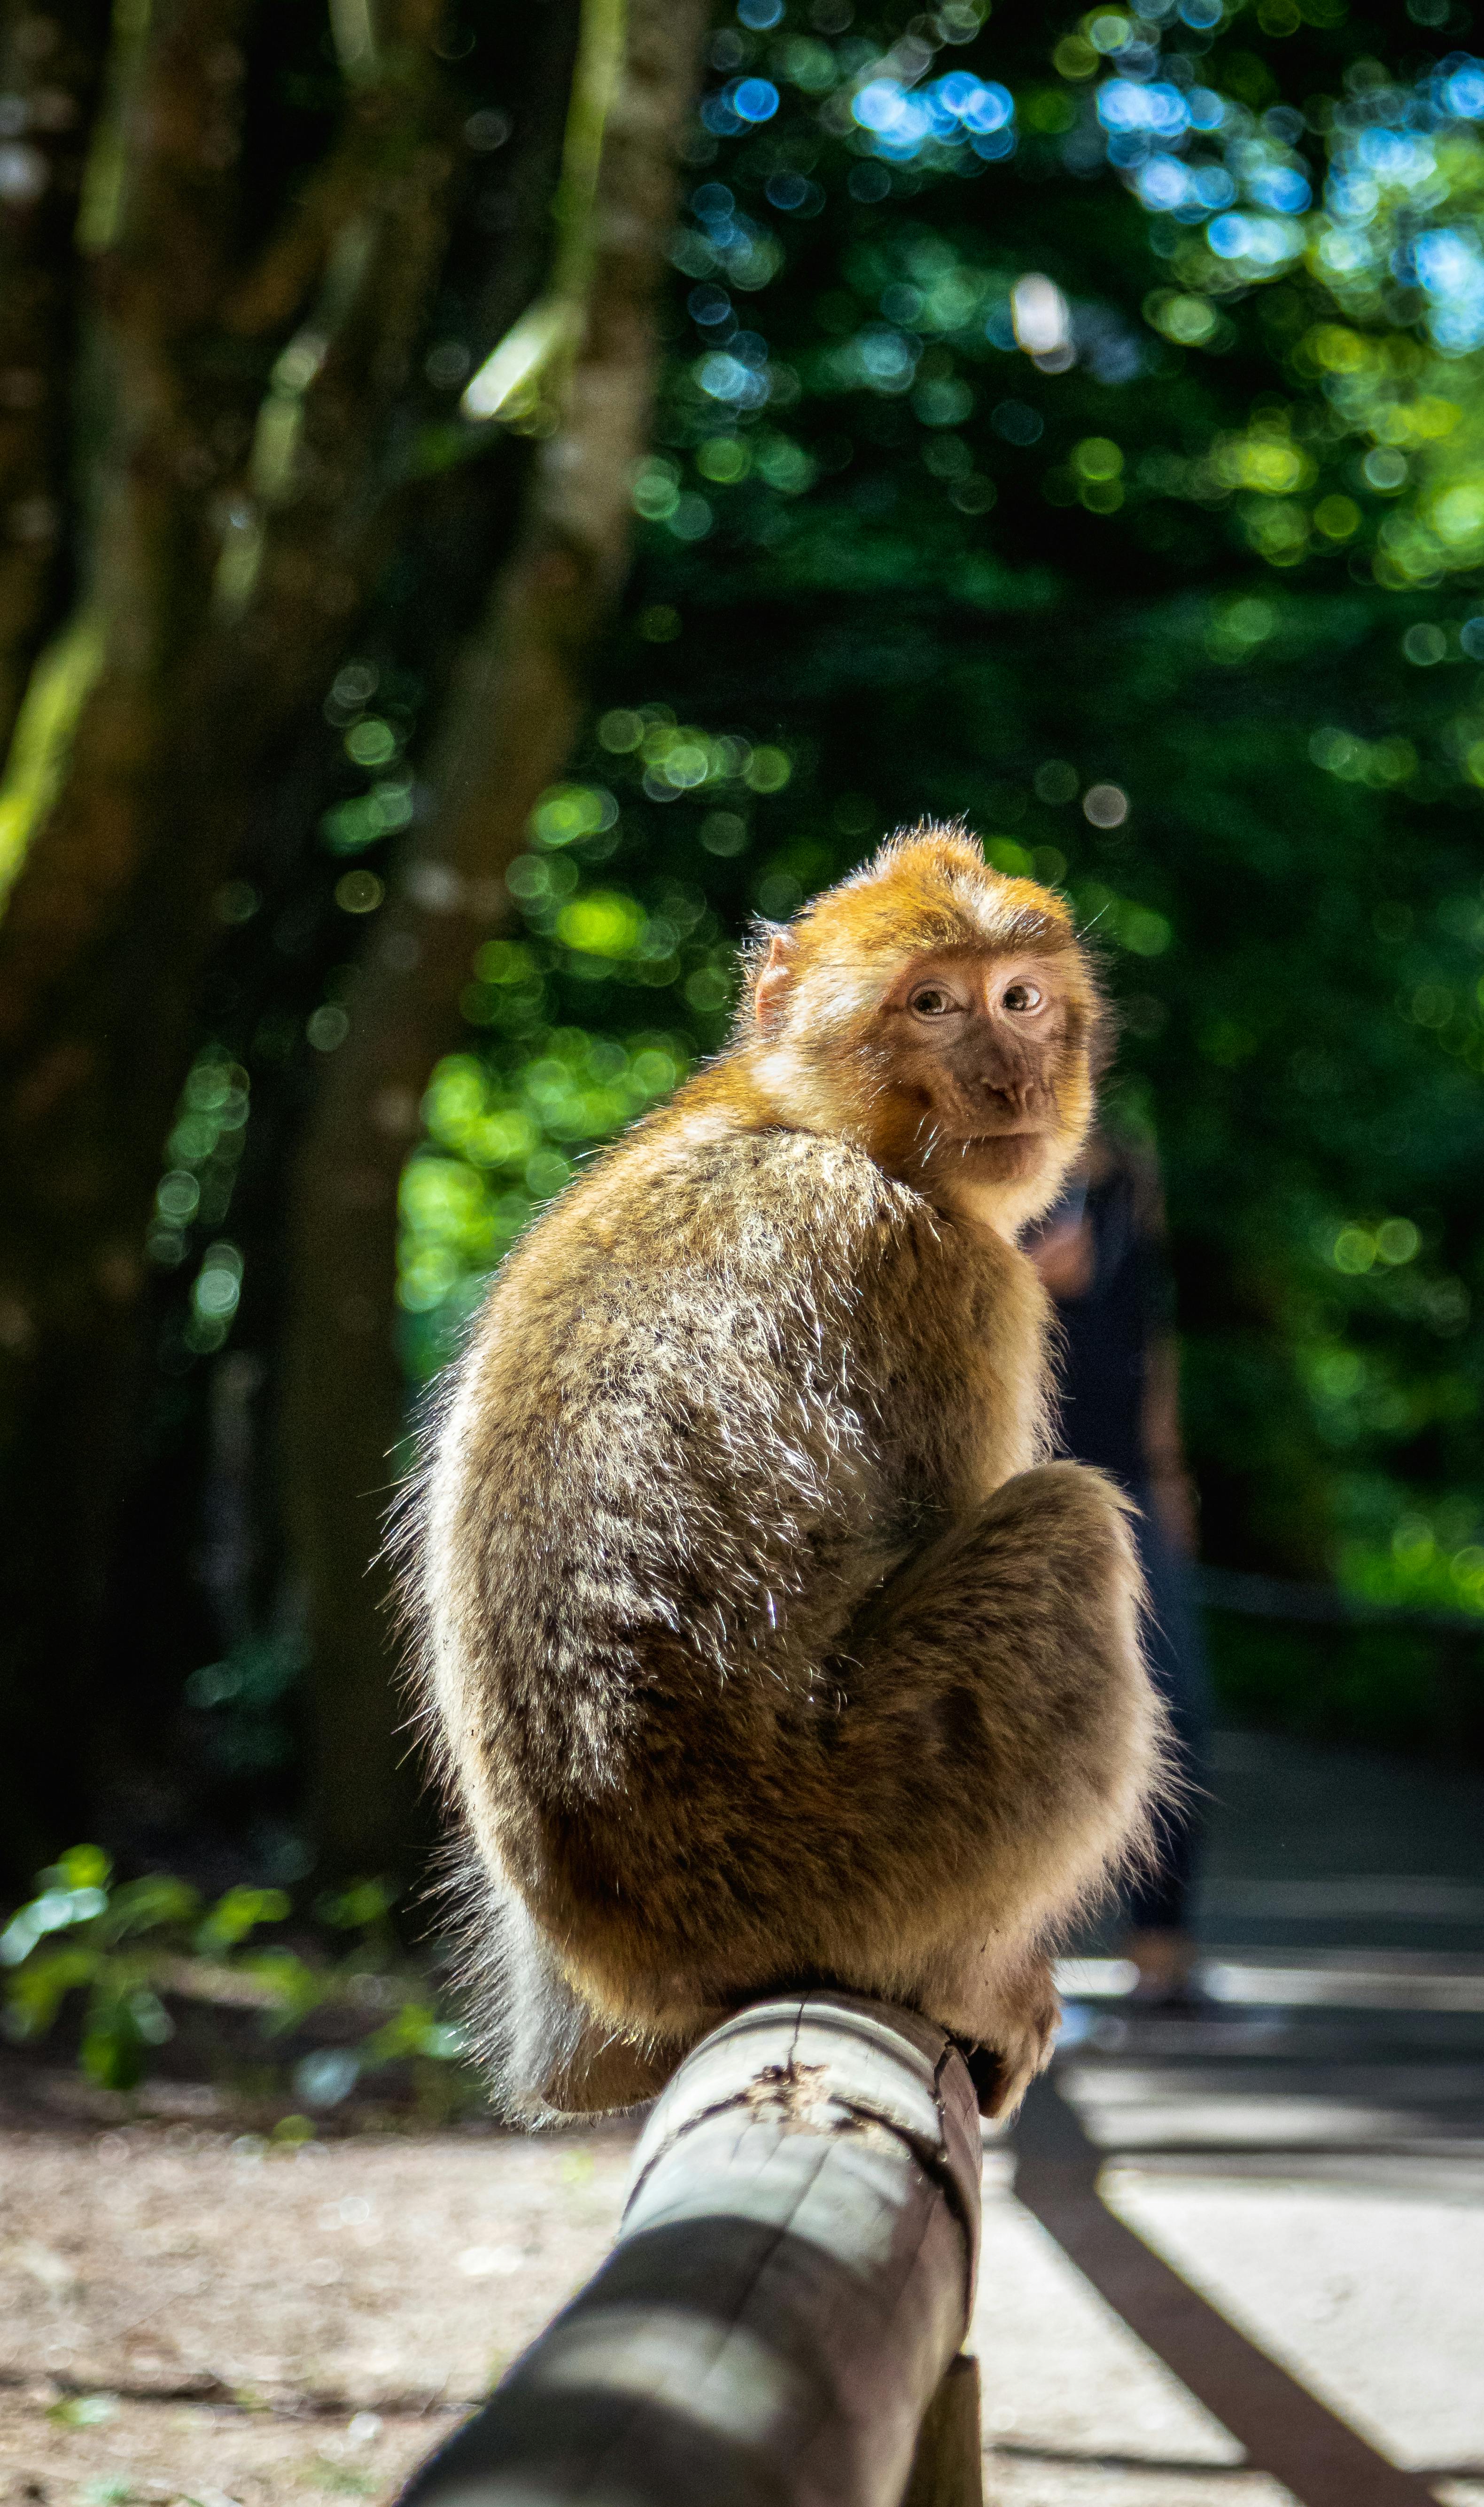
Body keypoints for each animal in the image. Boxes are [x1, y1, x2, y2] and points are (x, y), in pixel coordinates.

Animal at [405, 825, 1169, 2124]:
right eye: (932, 1005)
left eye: (1017, 1000)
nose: (1011, 1084)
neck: (803, 1121)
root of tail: (642, 1960)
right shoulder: (946, 1274)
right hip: (847, 1854)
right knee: (1066, 1527)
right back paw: (963, 1983)